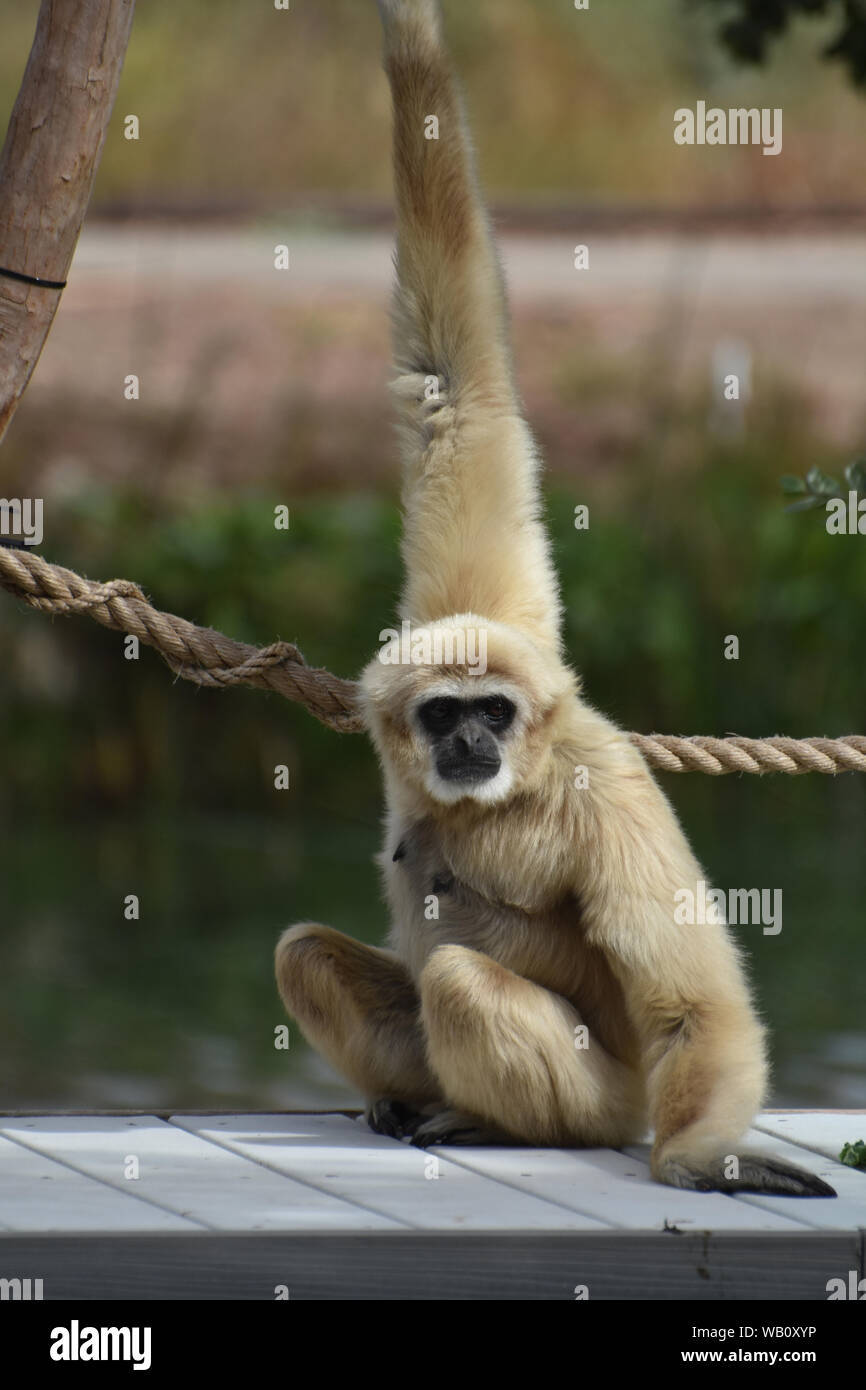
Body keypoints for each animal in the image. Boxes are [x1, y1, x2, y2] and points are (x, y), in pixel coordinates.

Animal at [276, 0, 835, 1196]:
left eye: (496, 711)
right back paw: (406, 1101)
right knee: (307, 955)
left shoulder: (600, 779)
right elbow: (455, 391)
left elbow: (689, 1004)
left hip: (604, 1093)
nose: (471, 741)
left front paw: (706, 1162)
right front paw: (411, 44)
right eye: (446, 711)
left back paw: (498, 1125)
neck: (500, 795)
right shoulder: (481, 608)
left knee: (459, 983)